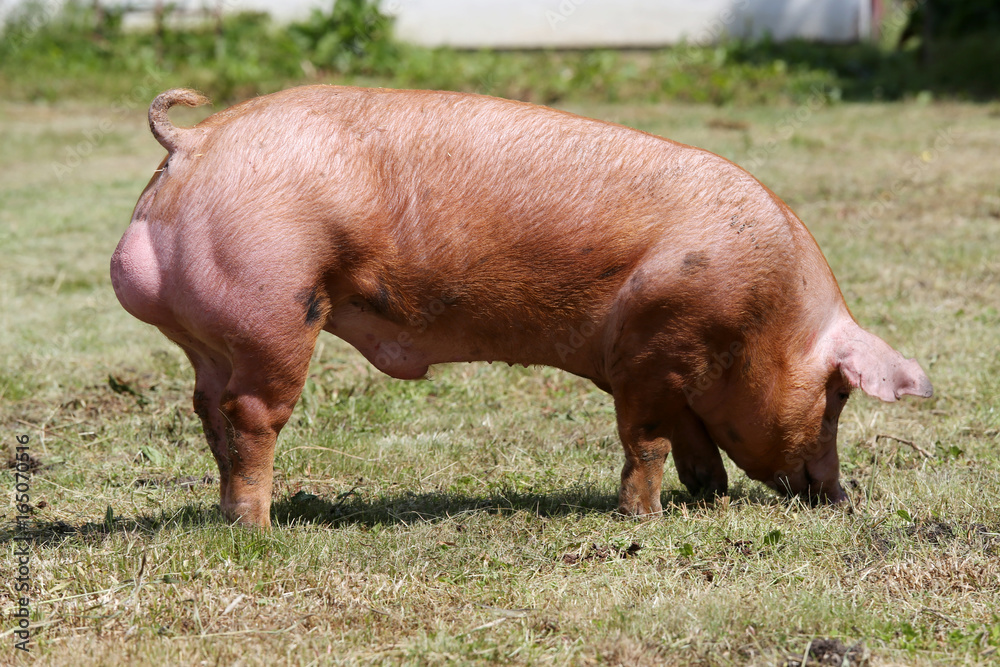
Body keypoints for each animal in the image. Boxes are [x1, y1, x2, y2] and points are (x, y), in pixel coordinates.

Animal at [110, 86, 933, 528]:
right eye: (837, 396)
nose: (839, 494)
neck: (762, 318)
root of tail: (193, 139)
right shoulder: (650, 348)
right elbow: (647, 442)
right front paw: (643, 518)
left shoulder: (677, 375)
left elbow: (695, 445)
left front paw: (710, 499)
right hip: (274, 307)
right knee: (251, 416)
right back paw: (262, 526)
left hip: (215, 335)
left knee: (208, 409)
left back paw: (231, 511)